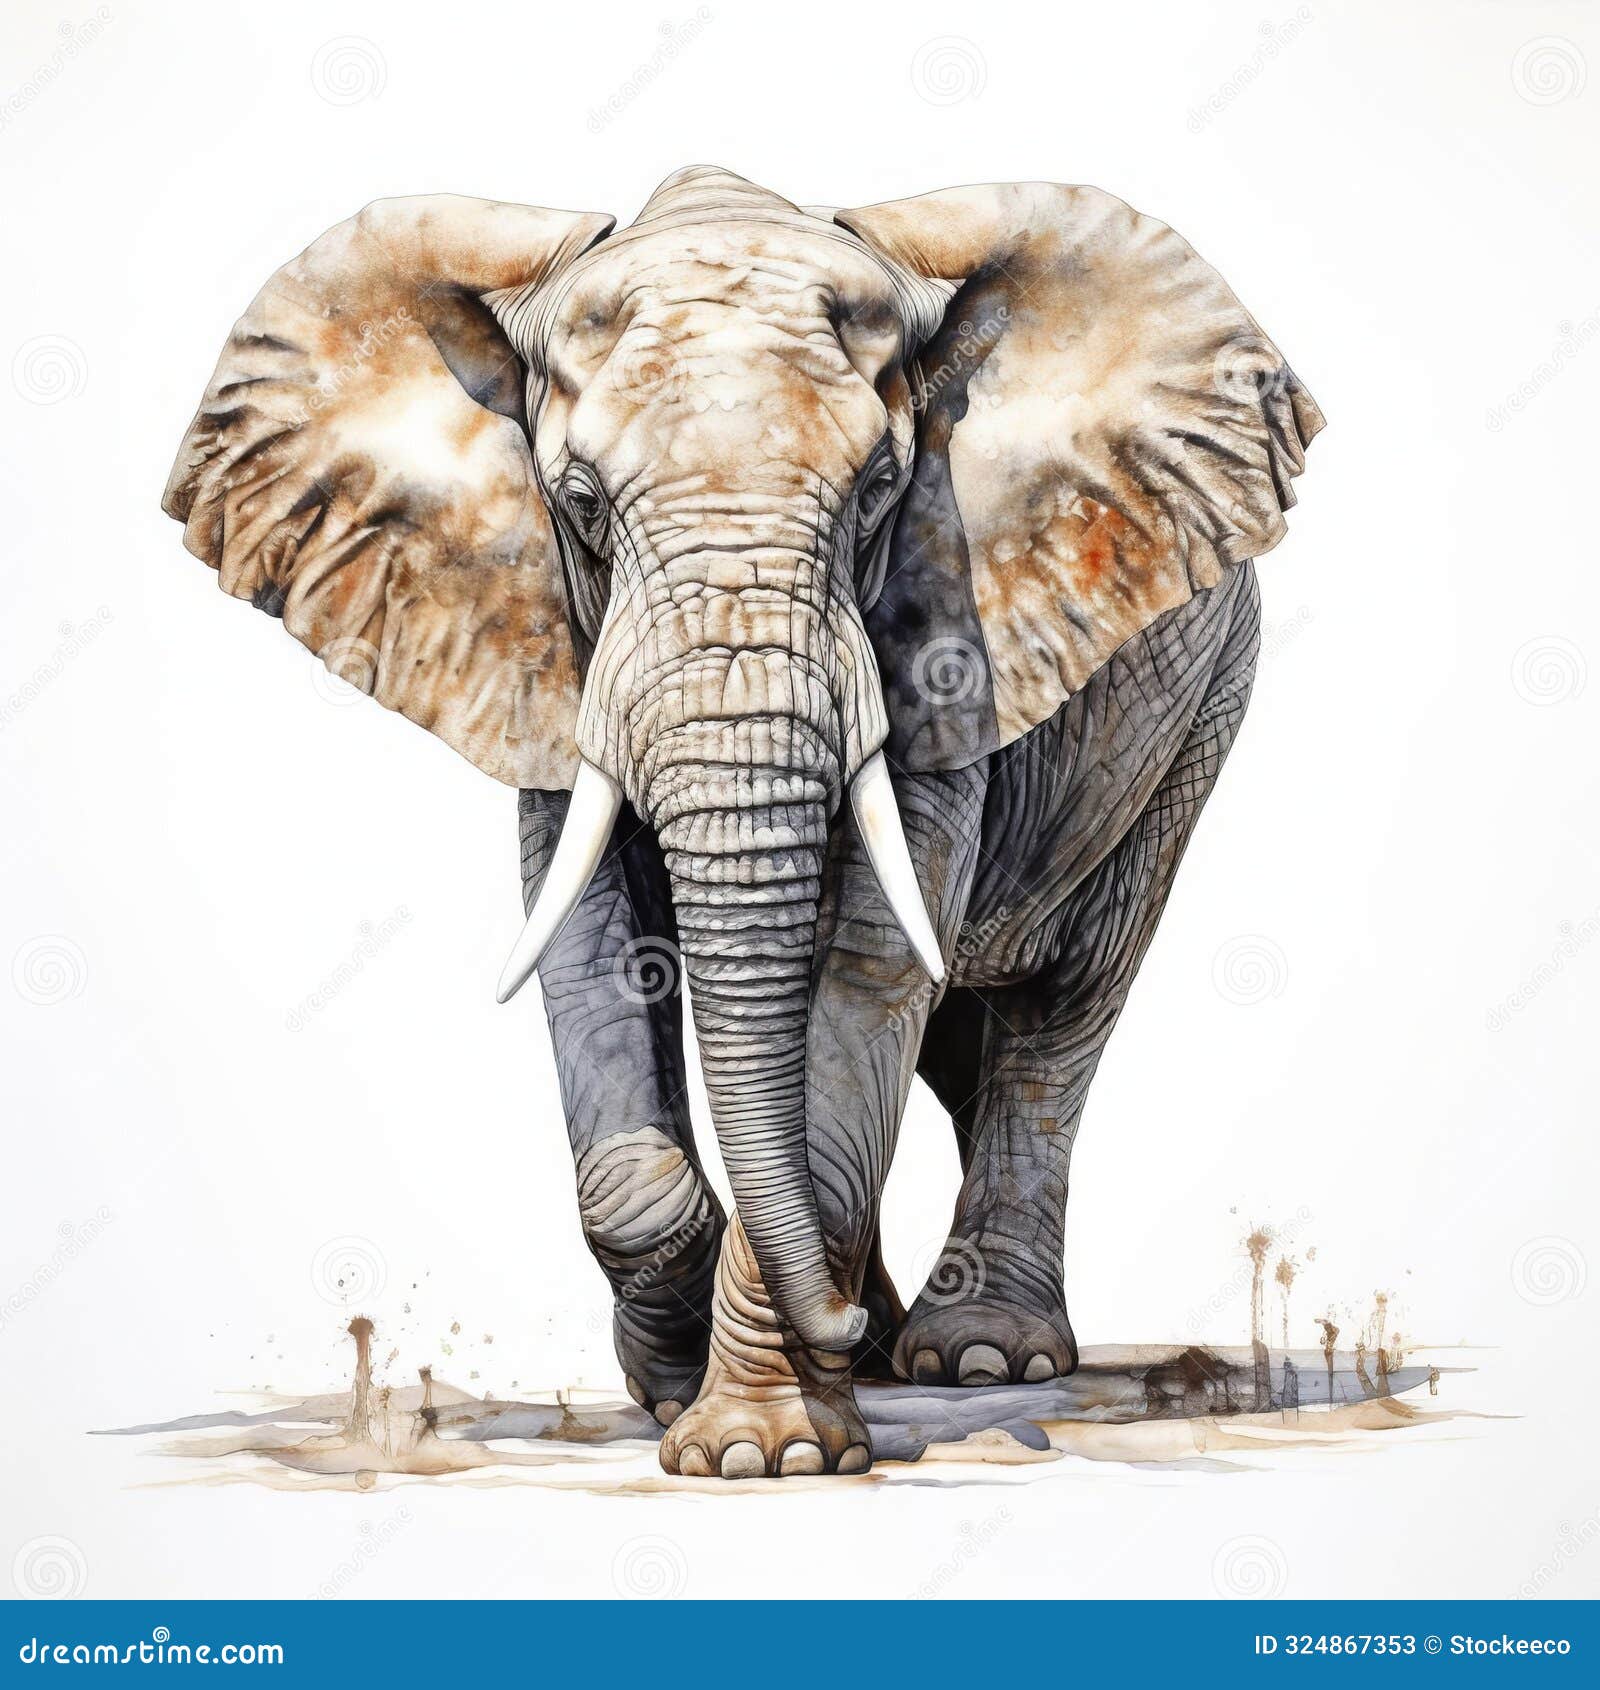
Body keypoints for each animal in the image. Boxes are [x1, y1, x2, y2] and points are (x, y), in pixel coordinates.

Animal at [162, 165, 1321, 1480]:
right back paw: (890, 1341)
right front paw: (675, 1381)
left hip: (1201, 708)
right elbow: (591, 955)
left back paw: (973, 1353)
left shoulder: (938, 640)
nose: (844, 1325)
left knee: (1057, 1003)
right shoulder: (550, 655)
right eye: (579, 503)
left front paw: (758, 1454)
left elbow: (864, 974)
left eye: (879, 492)